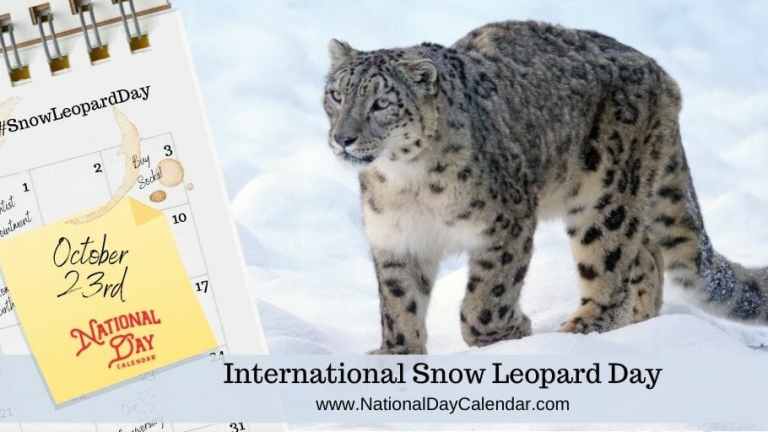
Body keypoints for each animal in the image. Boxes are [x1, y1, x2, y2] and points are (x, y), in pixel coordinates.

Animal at [322, 20, 768, 354]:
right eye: (336, 95)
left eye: (381, 103)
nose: (343, 138)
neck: (406, 184)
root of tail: (661, 74)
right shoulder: (395, 238)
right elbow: (399, 301)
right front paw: (397, 354)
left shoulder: (506, 223)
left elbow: (487, 296)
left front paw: (509, 331)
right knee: (646, 257)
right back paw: (639, 328)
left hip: (603, 200)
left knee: (612, 267)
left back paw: (580, 333)